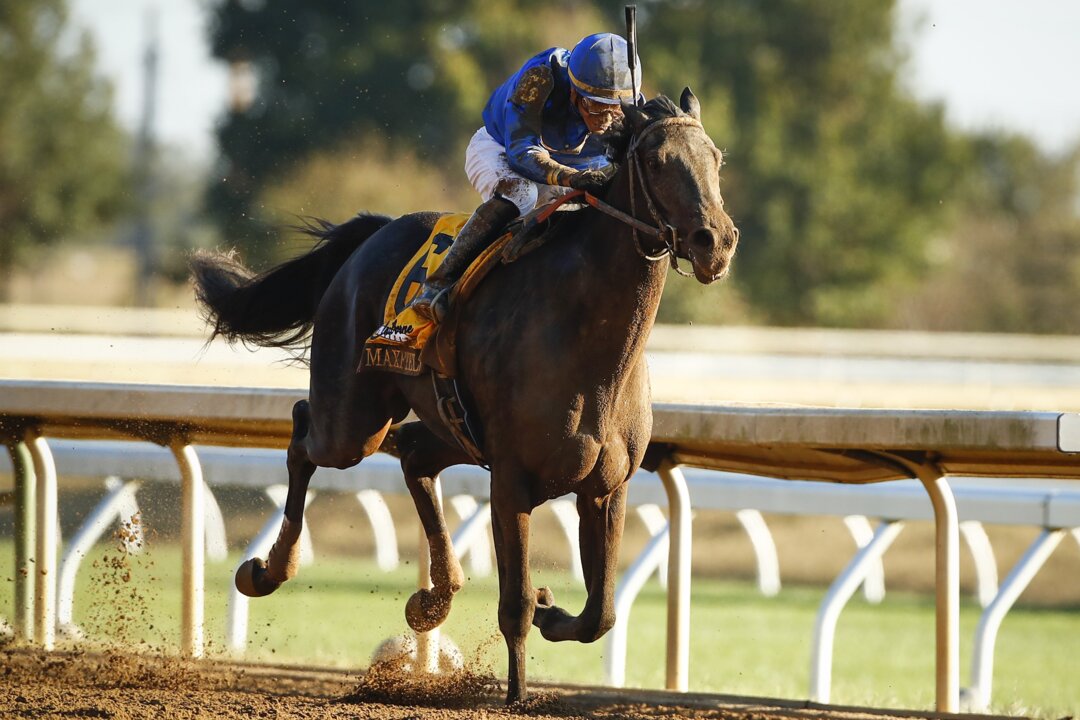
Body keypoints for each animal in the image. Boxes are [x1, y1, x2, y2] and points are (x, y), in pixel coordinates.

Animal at [190, 89, 738, 703]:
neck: (586, 335)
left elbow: (601, 612)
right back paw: (266, 570)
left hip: (449, 425)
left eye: (716, 159)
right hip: (353, 422)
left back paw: (433, 598)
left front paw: (552, 612)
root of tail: (374, 233)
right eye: (657, 161)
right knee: (306, 432)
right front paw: (518, 692)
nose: (715, 242)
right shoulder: (512, 481)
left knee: (412, 454)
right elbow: (515, 602)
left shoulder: (606, 487)